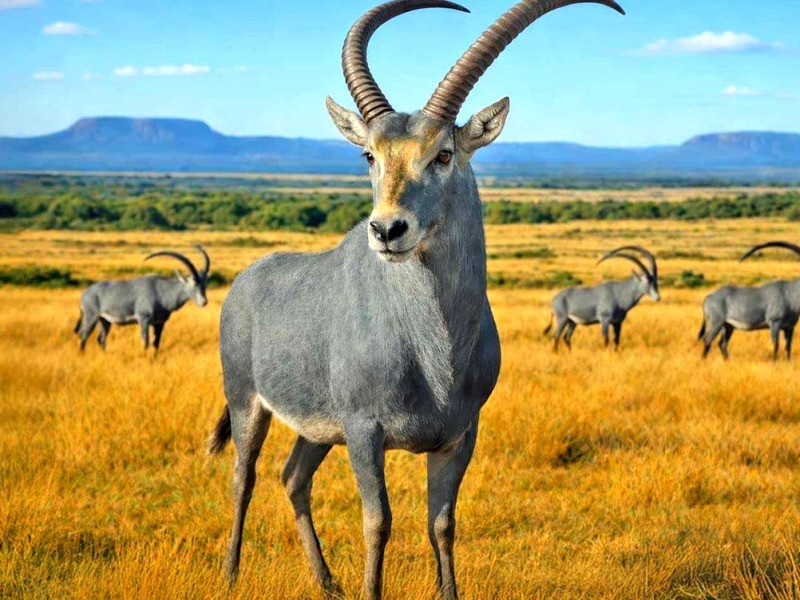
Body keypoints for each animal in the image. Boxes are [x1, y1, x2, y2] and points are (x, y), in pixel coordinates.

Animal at [74, 247, 210, 353]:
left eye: (204, 283)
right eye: (194, 282)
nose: (204, 302)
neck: (163, 292)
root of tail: (84, 293)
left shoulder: (159, 323)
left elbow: (156, 344)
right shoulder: (144, 319)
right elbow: (146, 342)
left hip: (104, 320)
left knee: (100, 339)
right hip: (92, 318)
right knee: (83, 336)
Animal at [207, 1, 624, 598]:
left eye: (444, 154)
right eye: (368, 155)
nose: (387, 230)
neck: (434, 349)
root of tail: (247, 281)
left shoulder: (459, 436)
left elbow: (442, 523)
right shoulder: (365, 432)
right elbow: (378, 521)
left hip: (318, 430)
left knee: (293, 477)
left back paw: (327, 582)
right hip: (248, 403)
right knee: (245, 477)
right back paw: (231, 573)